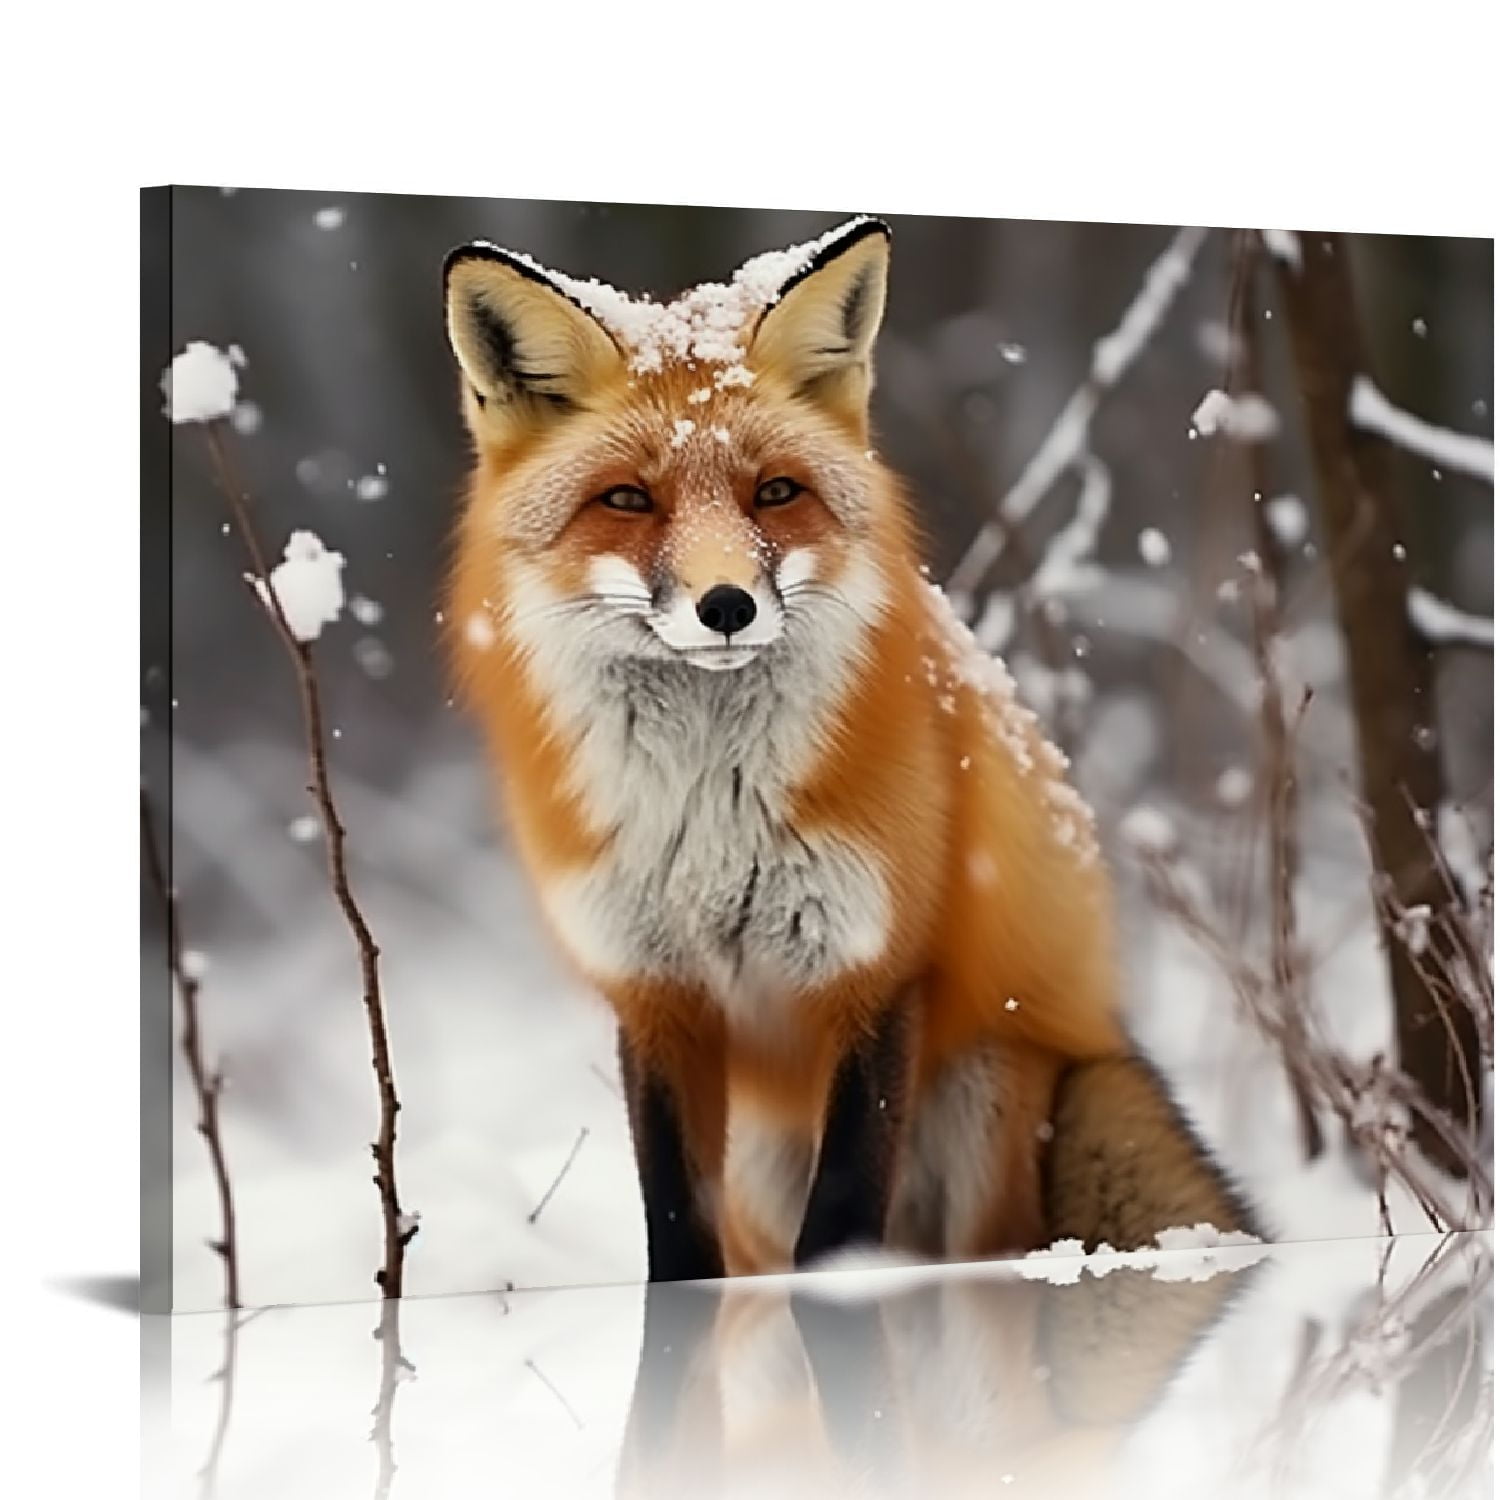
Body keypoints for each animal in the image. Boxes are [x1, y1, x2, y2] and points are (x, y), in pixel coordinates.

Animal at [440, 214, 1257, 1282]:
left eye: (775, 491)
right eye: (627, 500)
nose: (727, 605)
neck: (708, 816)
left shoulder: (872, 975)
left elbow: (837, 1232)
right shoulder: (657, 997)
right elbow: (677, 1234)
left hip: (981, 1109)